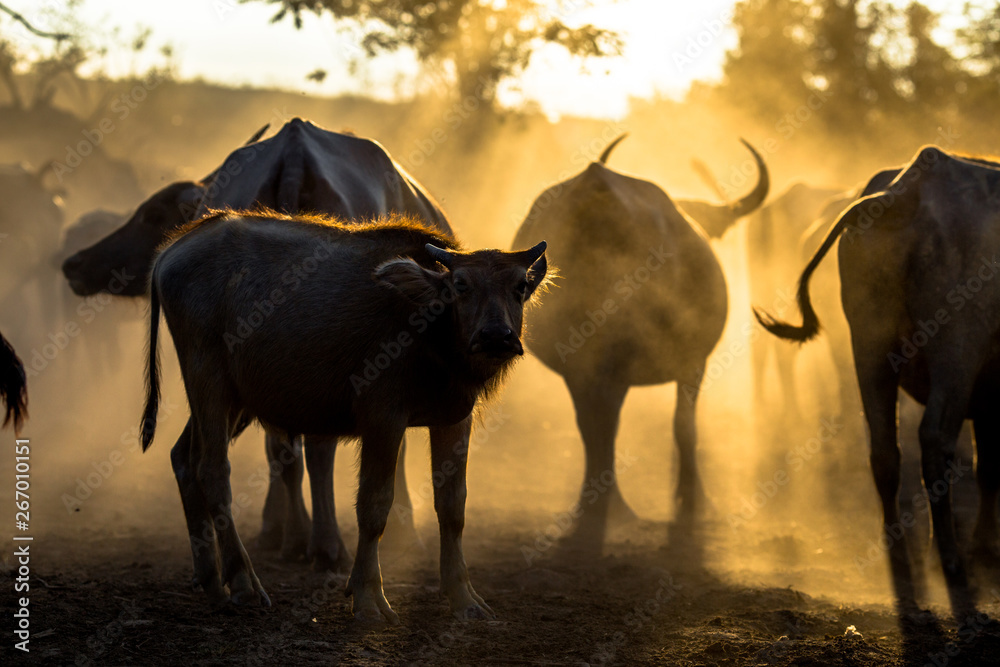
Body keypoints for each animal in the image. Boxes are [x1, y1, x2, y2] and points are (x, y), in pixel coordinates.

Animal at [140, 209, 547, 622]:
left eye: (519, 286)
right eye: (461, 285)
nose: (496, 335)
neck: (429, 327)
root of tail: (169, 253)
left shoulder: (453, 420)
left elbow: (452, 507)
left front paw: (464, 599)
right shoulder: (383, 417)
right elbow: (374, 504)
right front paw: (369, 598)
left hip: (238, 400)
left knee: (183, 458)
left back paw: (210, 579)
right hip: (207, 379)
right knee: (212, 470)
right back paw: (243, 583)